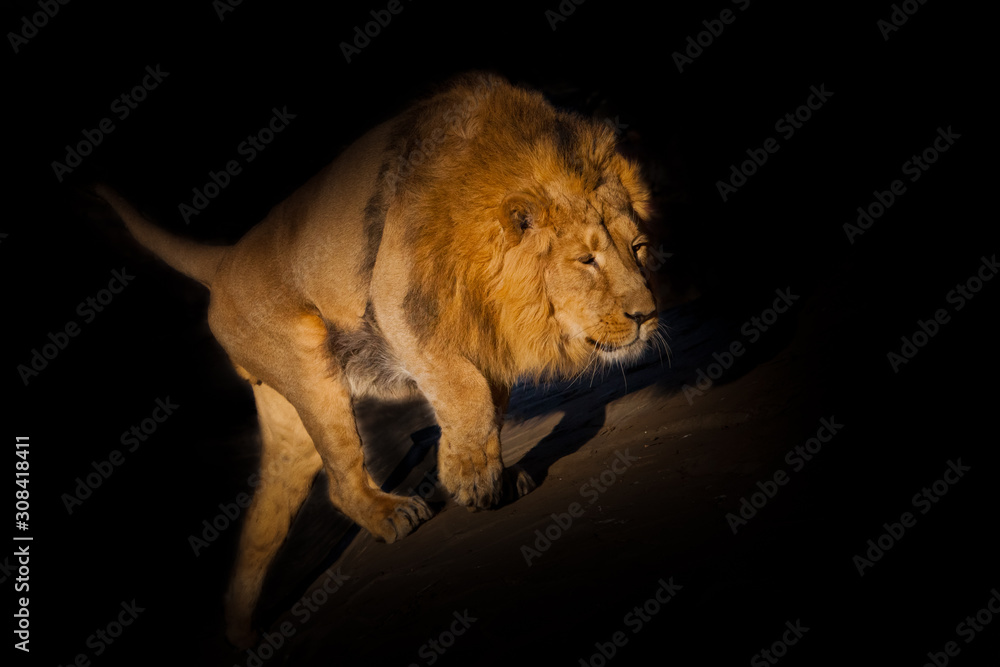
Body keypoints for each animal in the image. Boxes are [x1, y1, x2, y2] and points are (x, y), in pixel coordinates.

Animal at [95, 73, 661, 647]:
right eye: (586, 260)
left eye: (638, 248)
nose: (648, 314)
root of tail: (226, 257)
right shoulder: (397, 304)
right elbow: (467, 392)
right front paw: (471, 481)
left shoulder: (480, 330)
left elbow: (486, 402)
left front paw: (489, 472)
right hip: (311, 366)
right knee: (341, 480)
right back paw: (388, 514)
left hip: (286, 419)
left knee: (269, 513)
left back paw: (242, 632)